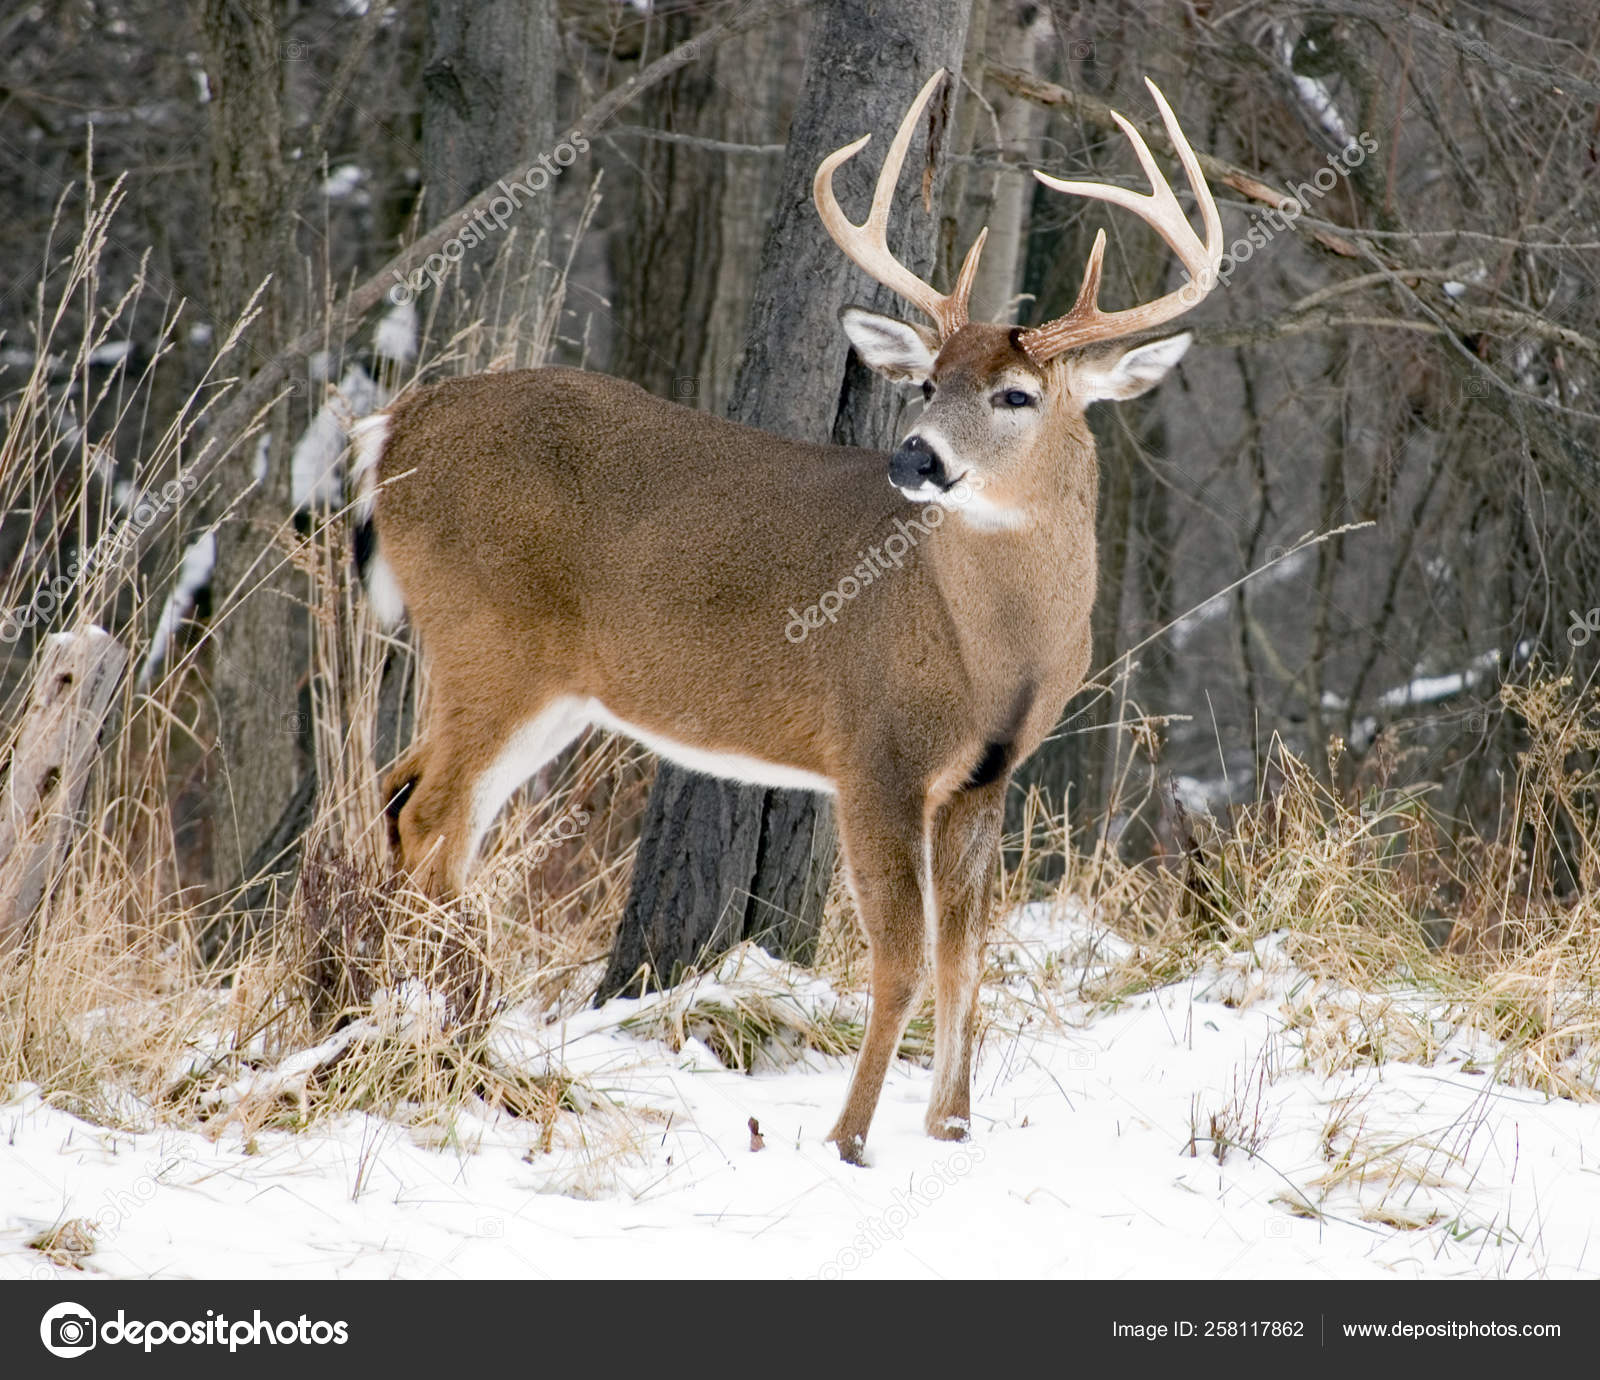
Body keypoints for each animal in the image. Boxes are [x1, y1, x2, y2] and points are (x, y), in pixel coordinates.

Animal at [349, 69, 1222, 1164]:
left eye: (1018, 394)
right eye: (926, 381)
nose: (916, 455)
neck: (994, 650)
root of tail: (394, 426)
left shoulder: (987, 776)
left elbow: (966, 952)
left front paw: (950, 1125)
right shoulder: (875, 750)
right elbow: (899, 957)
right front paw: (850, 1139)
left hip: (549, 686)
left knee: (412, 802)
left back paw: (404, 1009)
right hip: (489, 639)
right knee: (429, 811)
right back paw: (456, 1020)